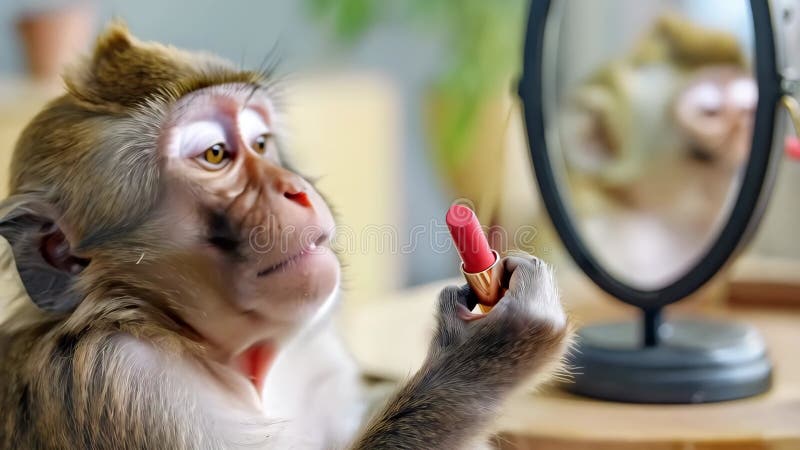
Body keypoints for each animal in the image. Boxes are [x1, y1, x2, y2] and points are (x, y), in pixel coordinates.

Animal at [0, 23, 571, 449]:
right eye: (215, 154)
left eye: (260, 142)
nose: (294, 189)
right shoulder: (125, 382)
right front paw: (491, 348)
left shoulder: (314, 361)